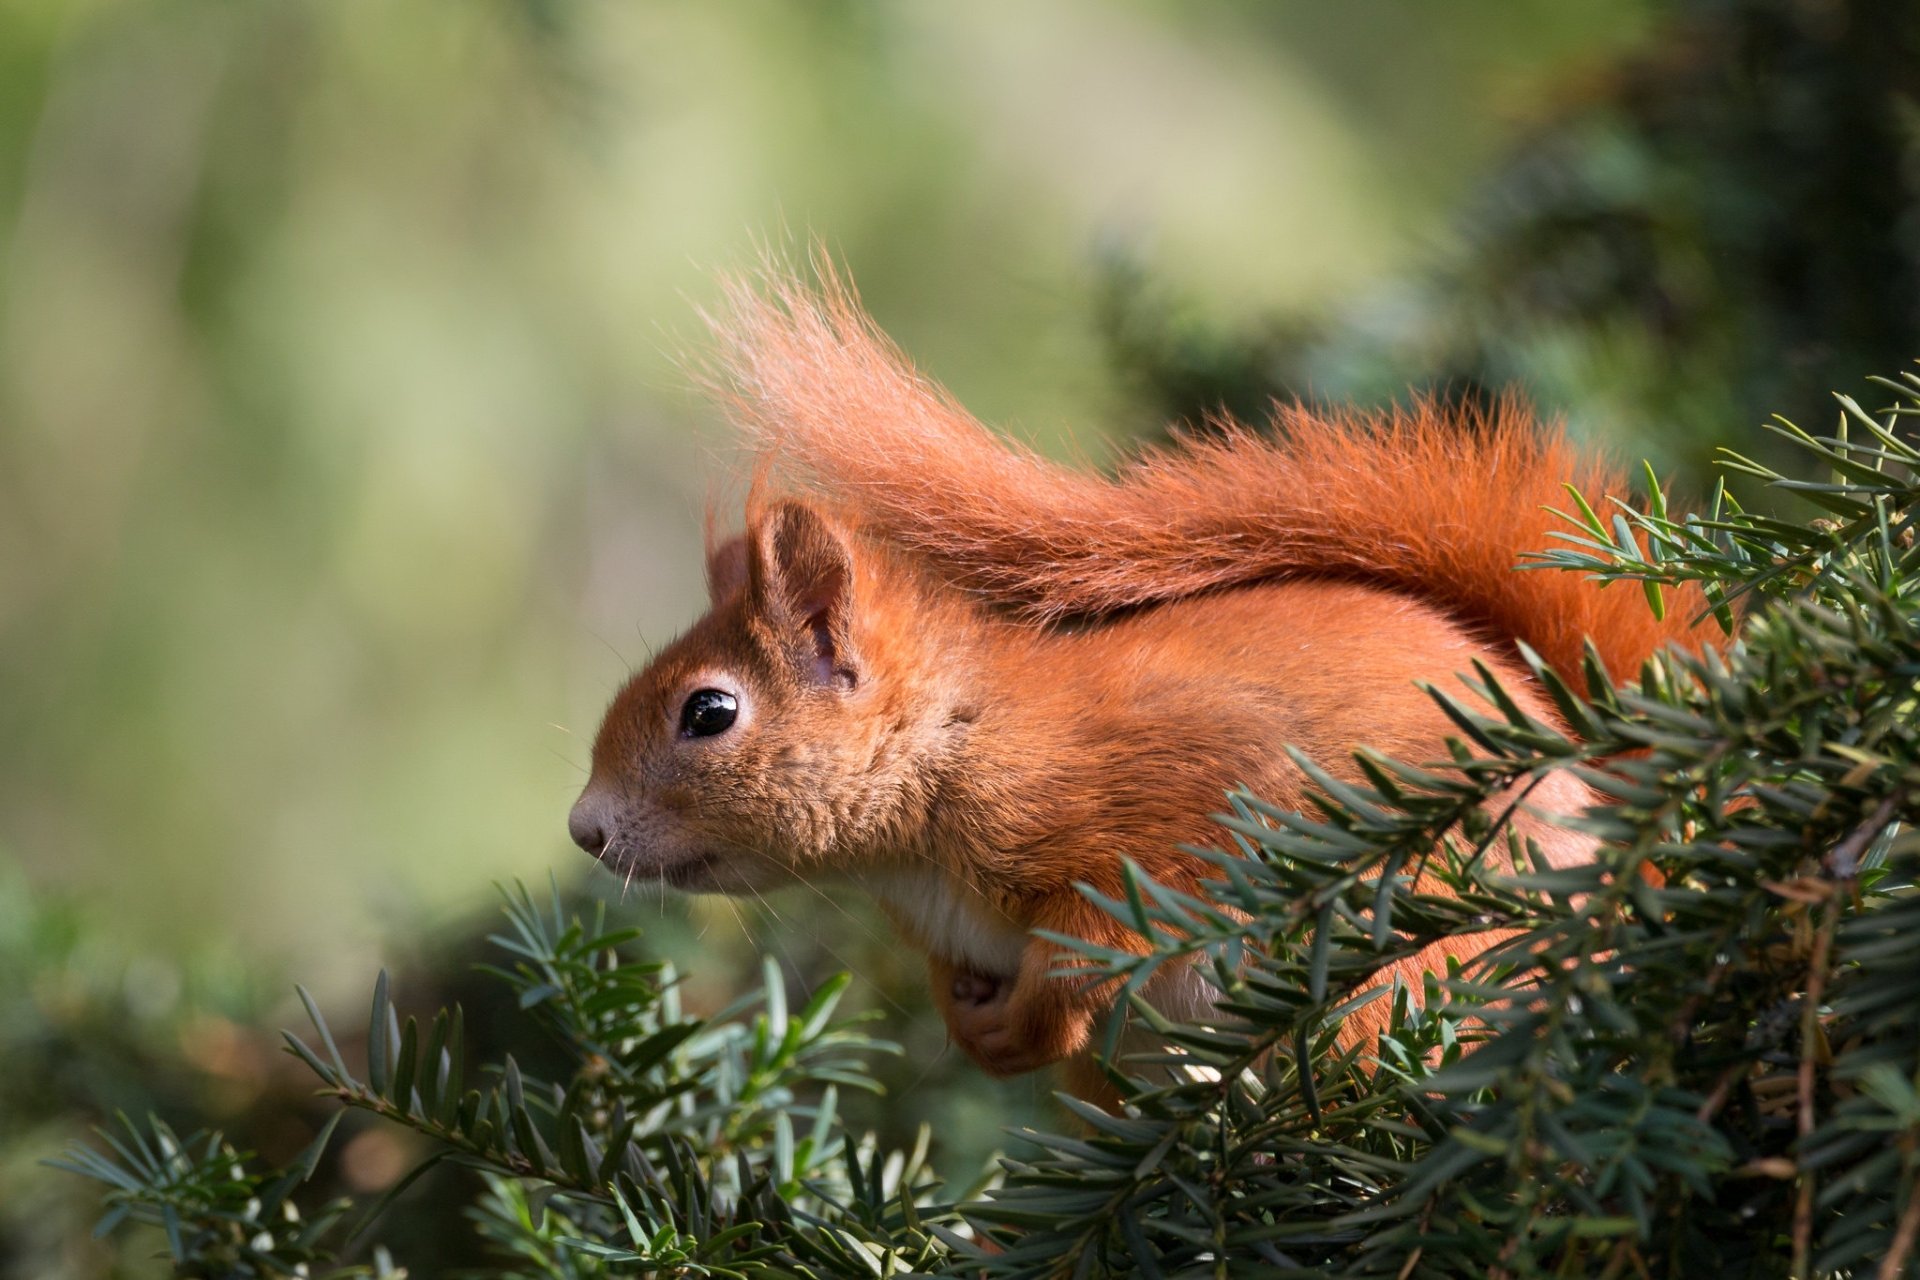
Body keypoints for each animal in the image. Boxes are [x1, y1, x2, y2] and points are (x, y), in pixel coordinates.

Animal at [567, 265, 1717, 1092]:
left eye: (709, 711)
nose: (584, 828)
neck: (956, 741)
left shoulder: (1159, 802)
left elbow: (1105, 932)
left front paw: (1029, 1019)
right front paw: (973, 1032)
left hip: (1408, 951)